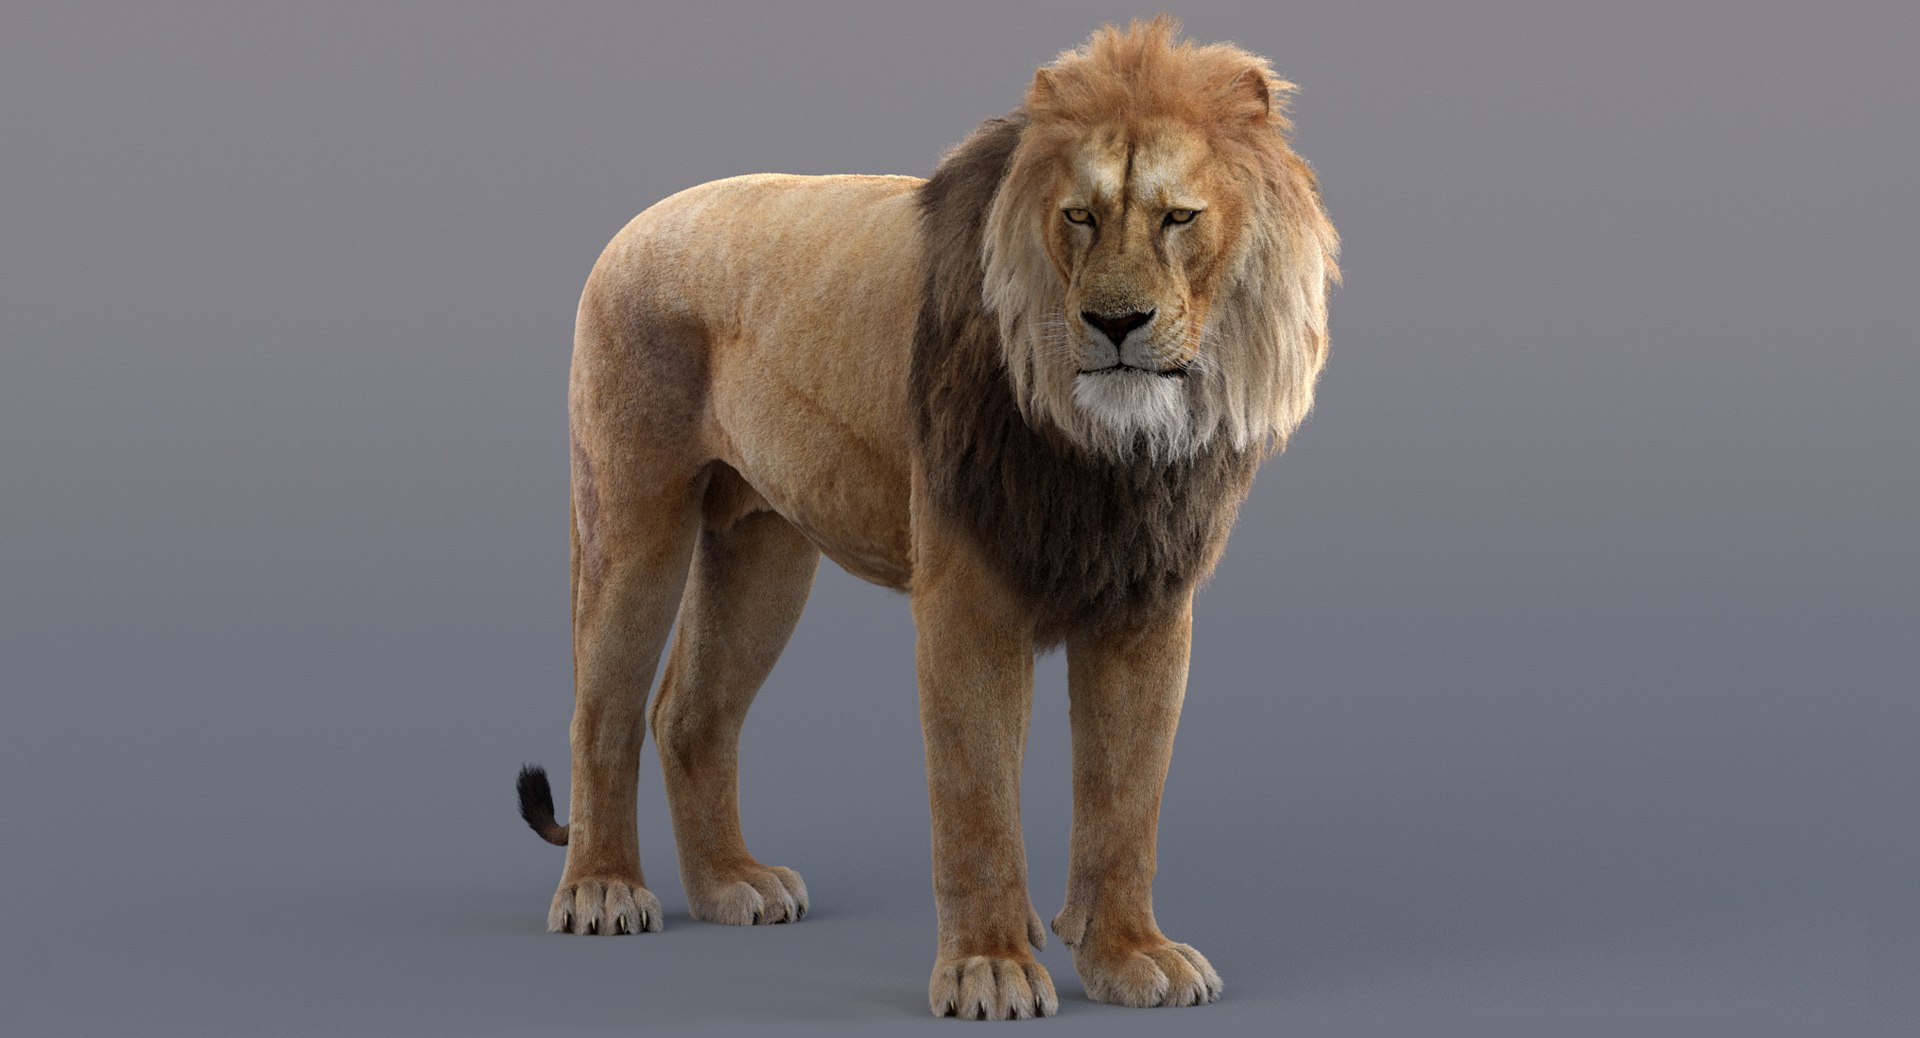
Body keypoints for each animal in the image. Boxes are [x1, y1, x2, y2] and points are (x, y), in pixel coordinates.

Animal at [514, 16, 1338, 1020]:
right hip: (634, 514)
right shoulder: (967, 600)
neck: (1105, 451)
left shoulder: (1148, 604)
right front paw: (991, 969)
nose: (1115, 323)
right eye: (1079, 216)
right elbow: (976, 798)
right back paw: (603, 891)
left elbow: (1126, 797)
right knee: (604, 709)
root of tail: (632, 225)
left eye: (1179, 218)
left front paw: (1130, 954)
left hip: (763, 551)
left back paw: (732, 884)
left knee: (688, 712)